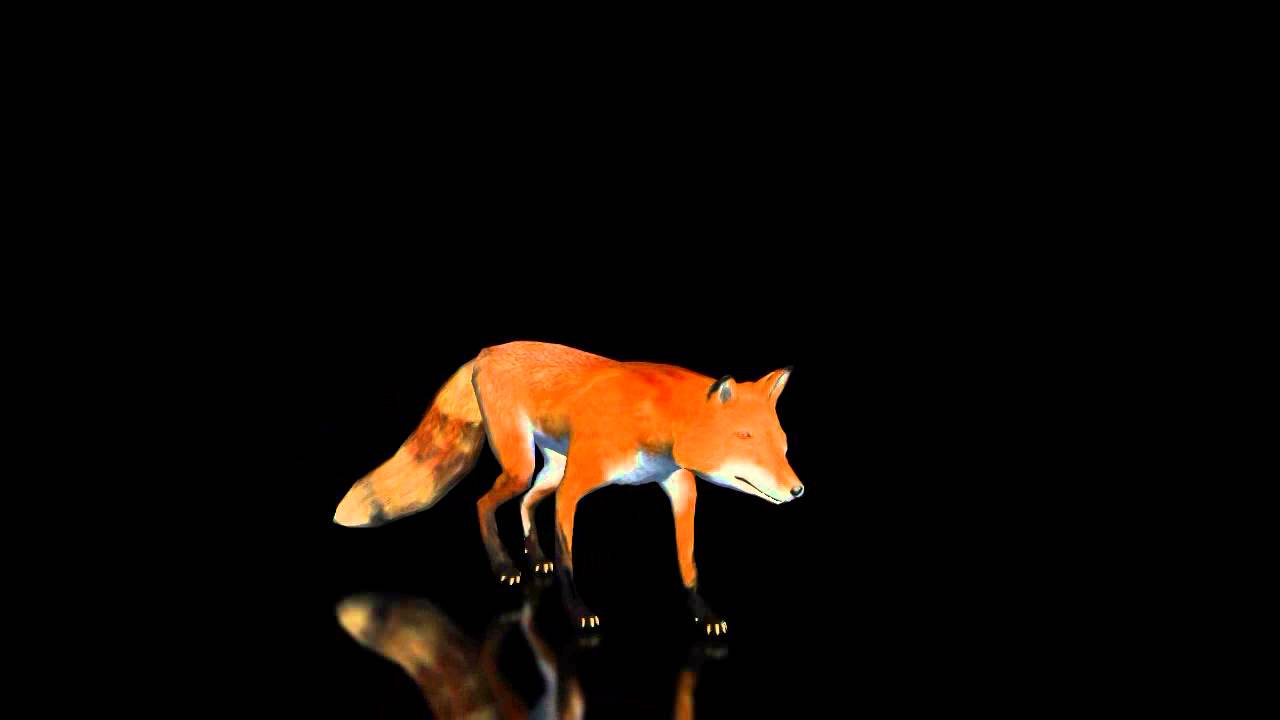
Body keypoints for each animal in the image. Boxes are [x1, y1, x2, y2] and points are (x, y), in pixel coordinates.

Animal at [334, 341, 803, 632]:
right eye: (745, 438)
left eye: (782, 446)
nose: (798, 490)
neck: (654, 422)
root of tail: (488, 350)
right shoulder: (574, 487)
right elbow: (568, 559)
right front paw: (577, 611)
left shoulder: (680, 487)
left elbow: (688, 563)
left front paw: (703, 614)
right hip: (524, 466)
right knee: (484, 503)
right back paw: (504, 565)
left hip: (548, 471)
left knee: (524, 504)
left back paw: (533, 557)